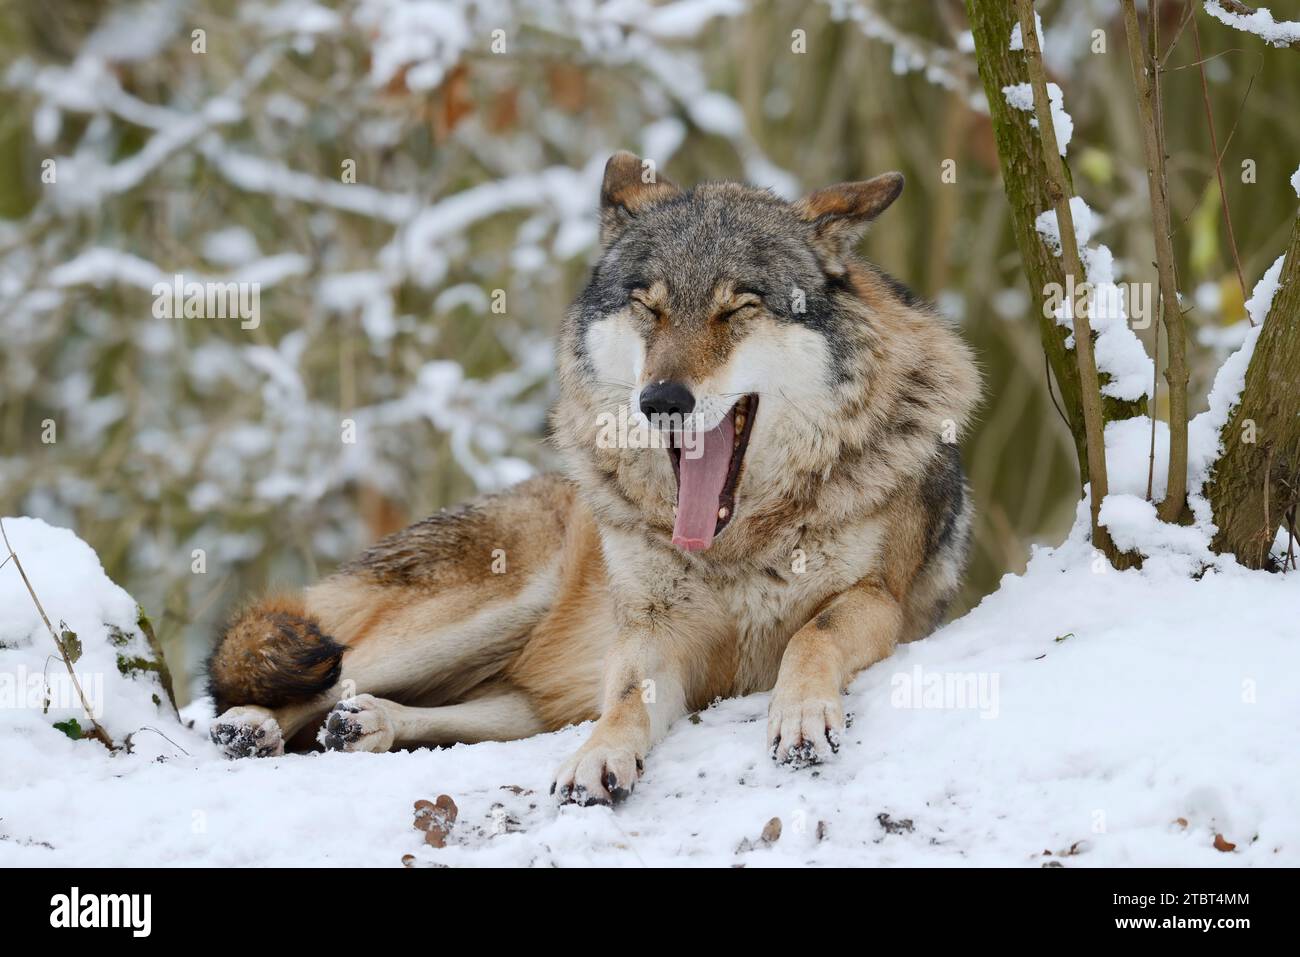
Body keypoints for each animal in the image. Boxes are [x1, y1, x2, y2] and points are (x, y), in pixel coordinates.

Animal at [206, 152, 981, 805]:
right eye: (647, 304)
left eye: (739, 307)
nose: (661, 400)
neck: (736, 542)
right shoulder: (653, 629)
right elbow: (627, 700)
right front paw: (597, 759)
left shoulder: (877, 600)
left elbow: (811, 634)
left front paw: (800, 716)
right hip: (481, 611)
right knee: (315, 671)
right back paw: (252, 724)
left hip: (515, 693)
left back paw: (362, 724)